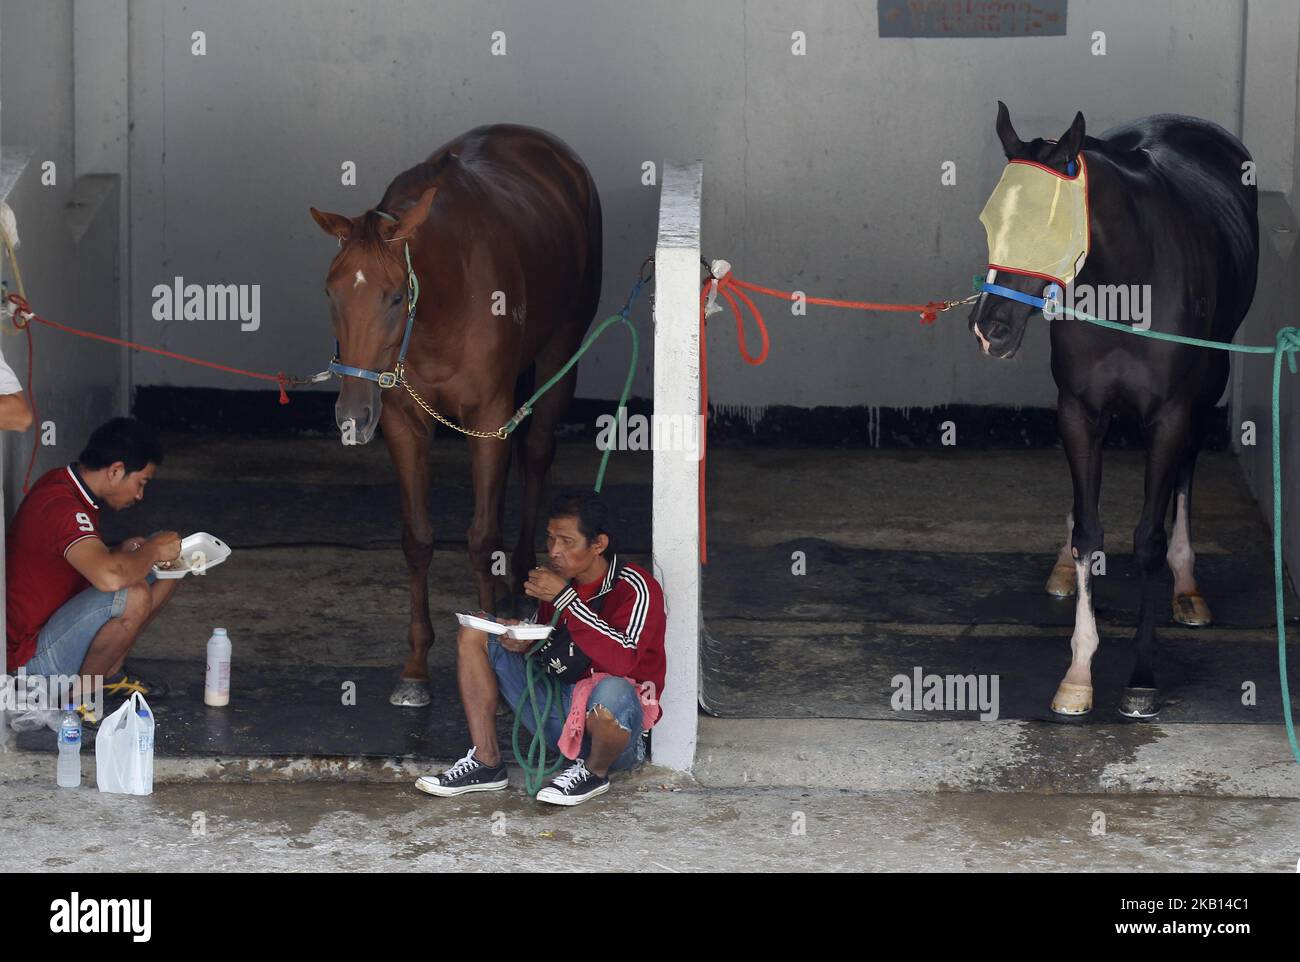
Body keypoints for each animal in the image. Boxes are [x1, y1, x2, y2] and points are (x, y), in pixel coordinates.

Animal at [309, 124, 603, 707]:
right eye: (331, 292)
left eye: (394, 297)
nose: (352, 414)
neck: (442, 300)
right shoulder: (402, 422)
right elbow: (418, 538)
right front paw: (416, 669)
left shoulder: (488, 415)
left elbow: (481, 538)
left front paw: (491, 645)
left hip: (562, 347)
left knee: (536, 452)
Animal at [968, 102, 1258, 718]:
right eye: (990, 222)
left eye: (1047, 225)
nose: (991, 328)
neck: (1128, 277)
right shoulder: (1078, 410)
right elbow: (1089, 530)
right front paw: (1078, 675)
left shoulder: (1170, 414)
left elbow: (1147, 537)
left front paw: (1142, 678)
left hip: (1210, 383)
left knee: (1187, 470)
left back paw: (1187, 586)